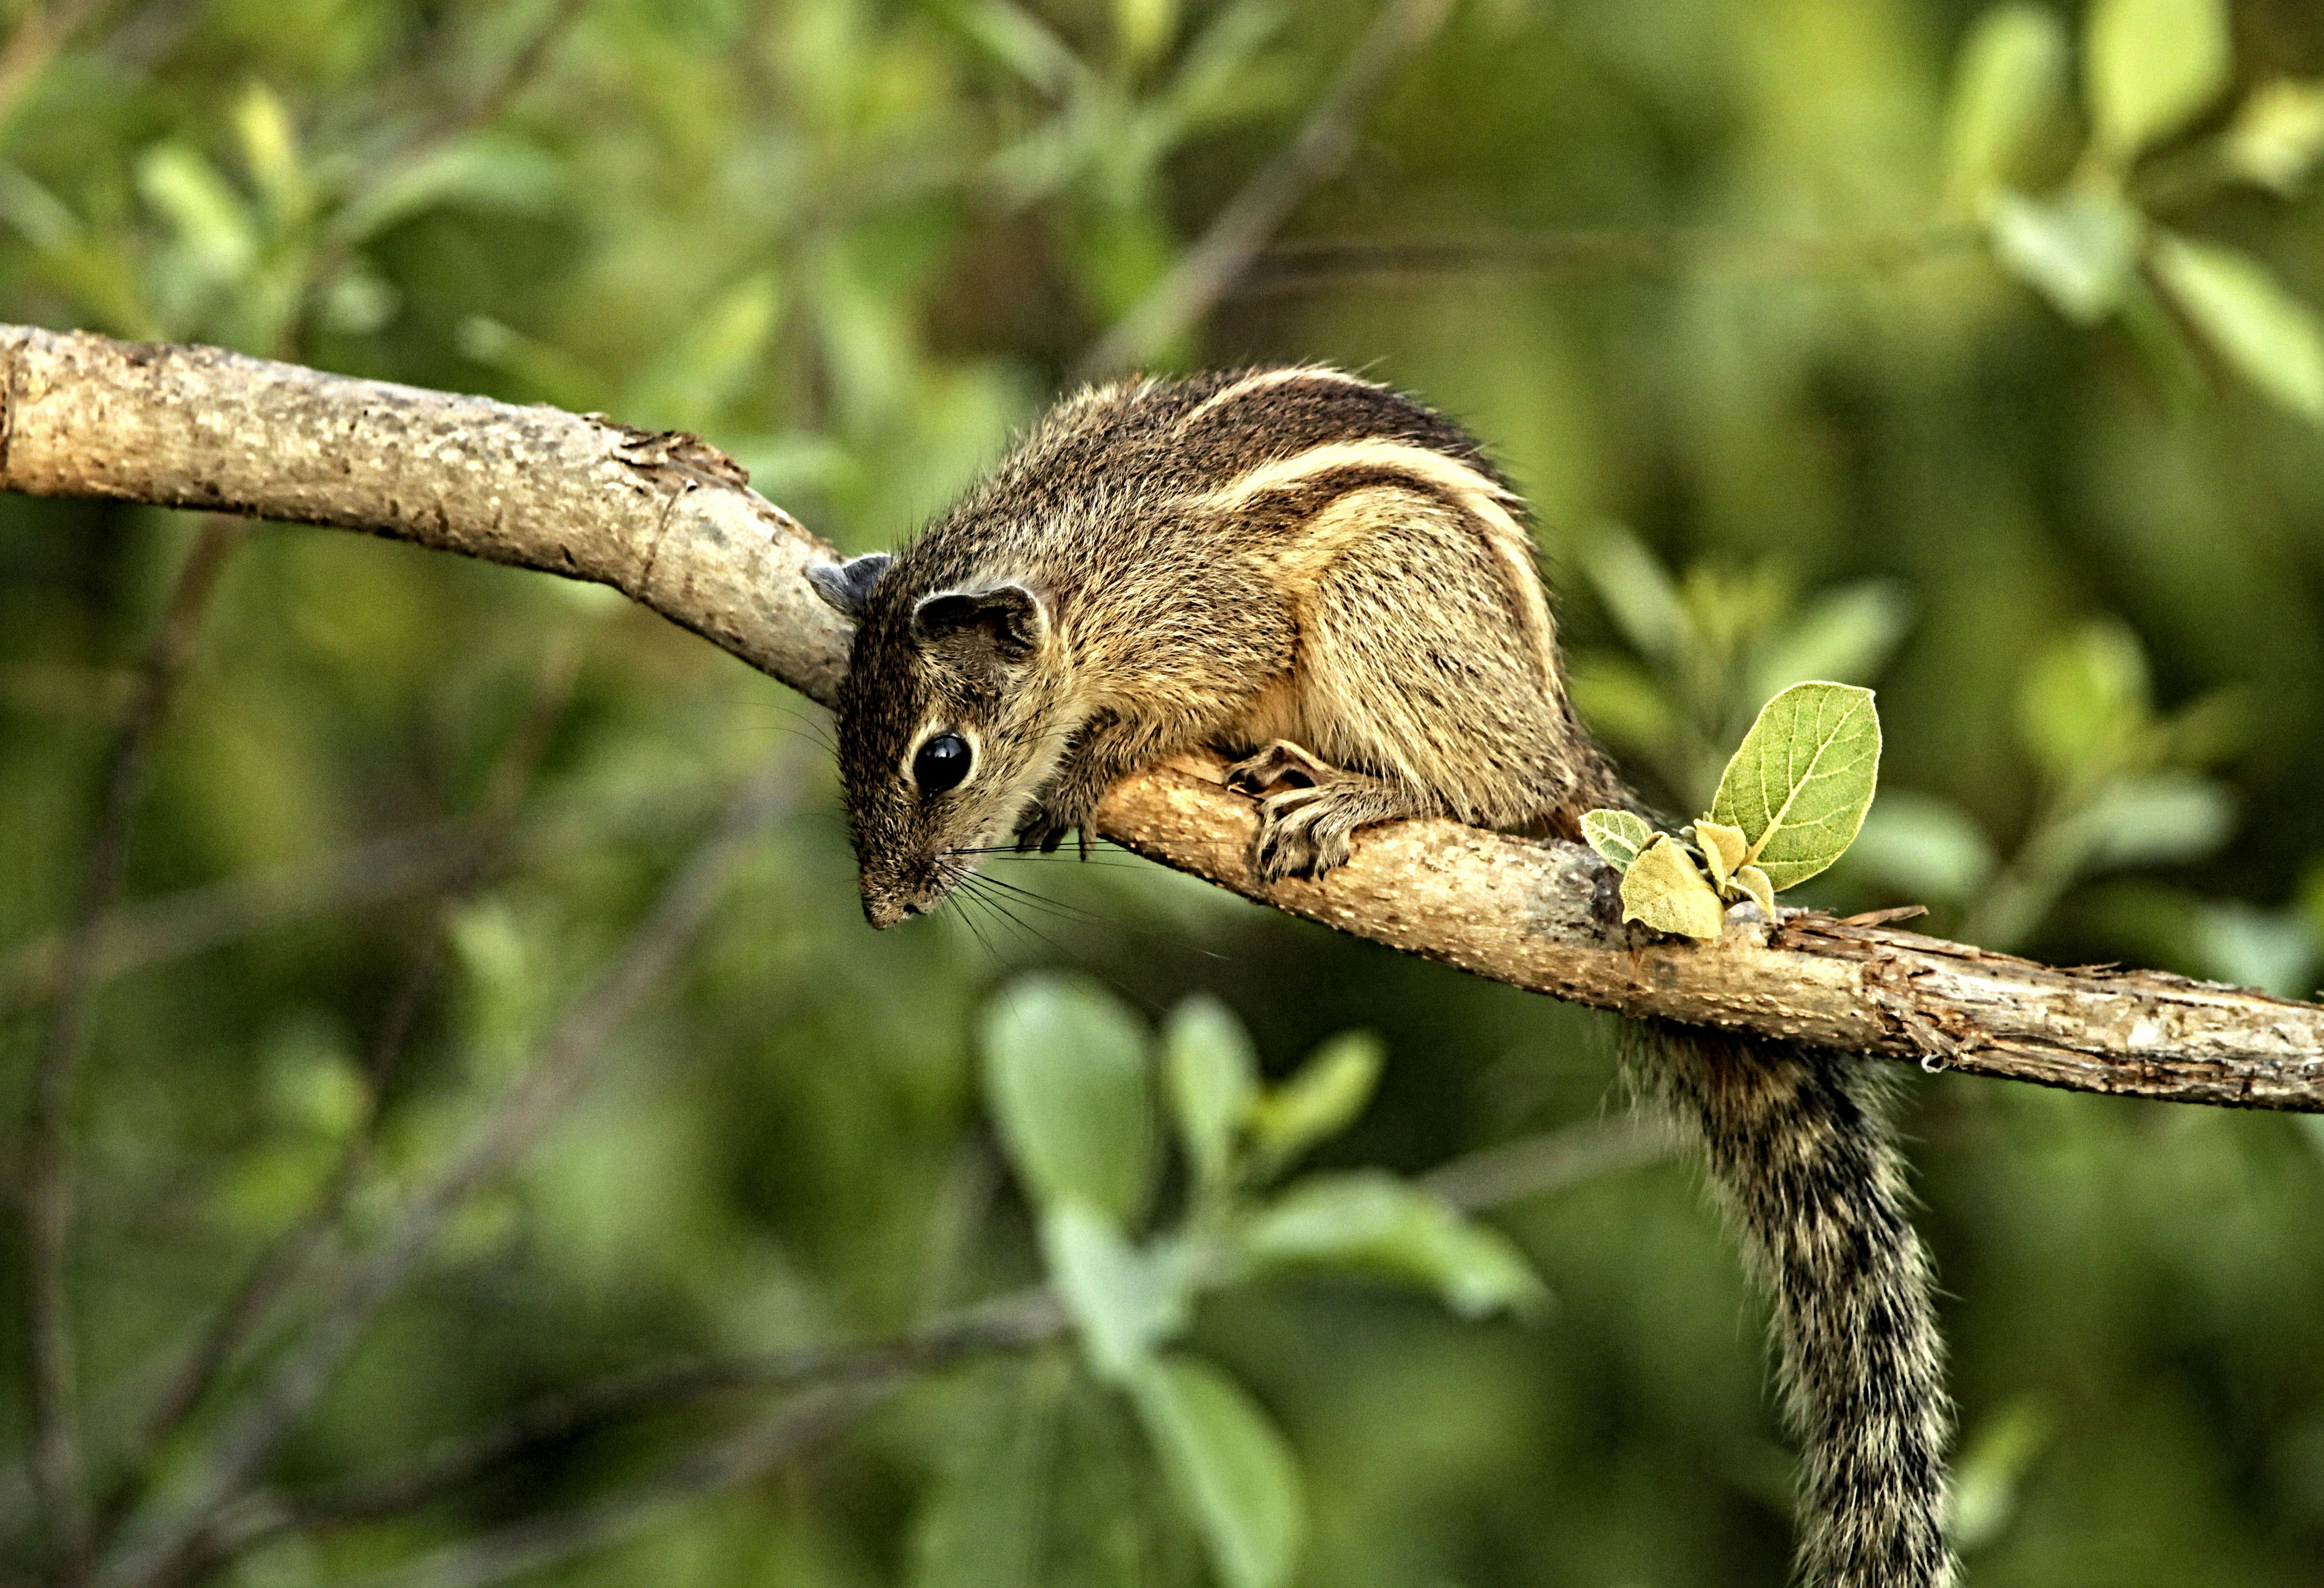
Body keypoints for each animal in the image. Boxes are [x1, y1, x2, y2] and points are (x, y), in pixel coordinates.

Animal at [807, 366, 1953, 1588]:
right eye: (842, 737)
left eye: (943, 759)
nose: (884, 907)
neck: (1077, 562)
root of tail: (1562, 737)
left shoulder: (1210, 627)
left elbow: (1185, 702)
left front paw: (1085, 768)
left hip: (1384, 598)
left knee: (1489, 791)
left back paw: (1356, 791)